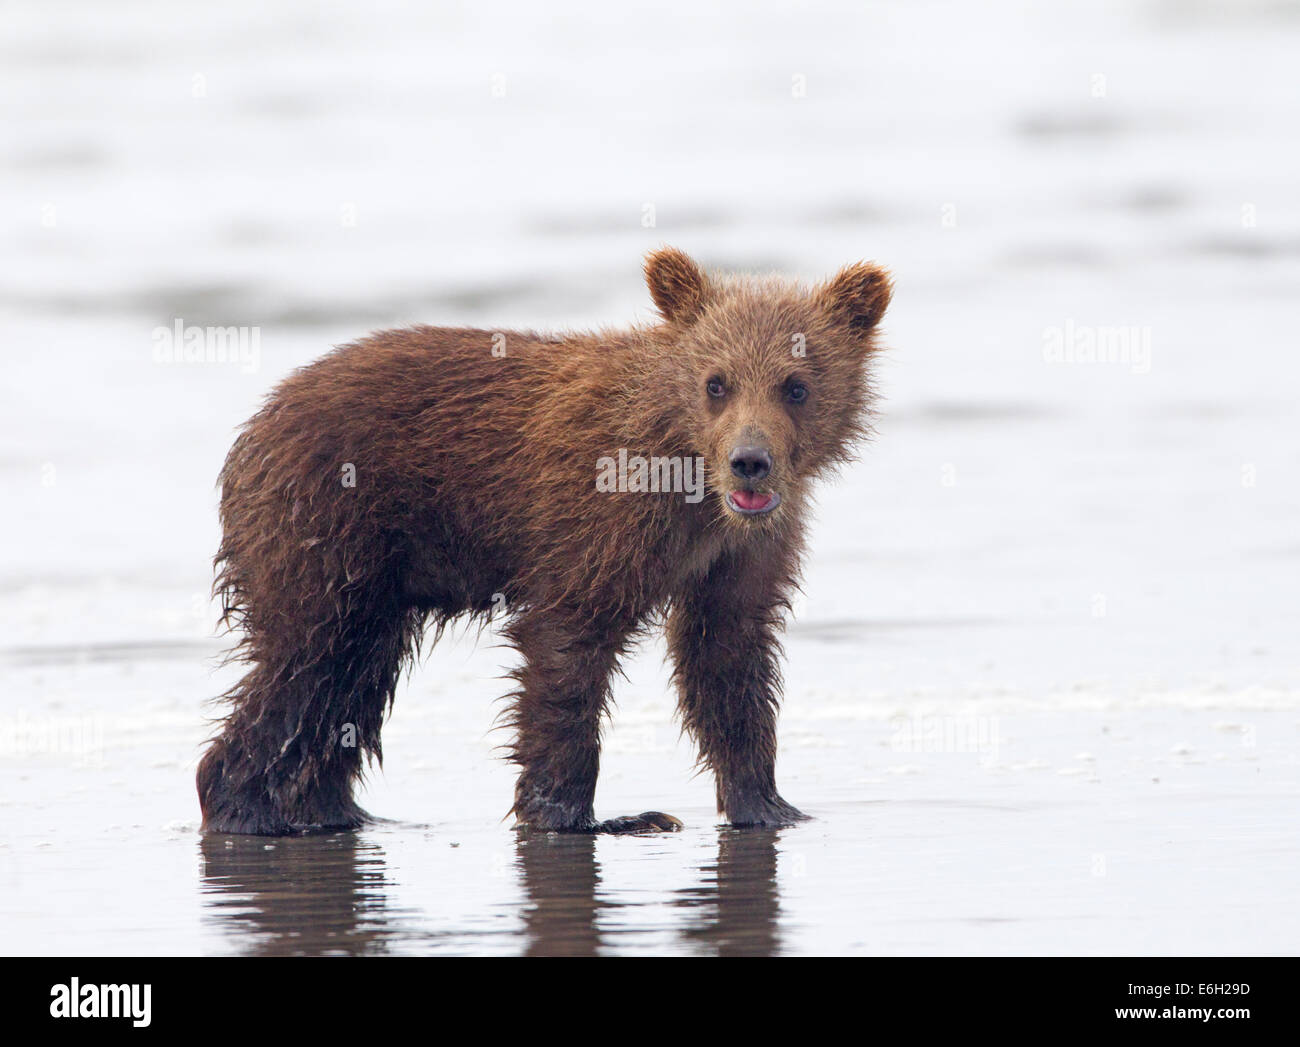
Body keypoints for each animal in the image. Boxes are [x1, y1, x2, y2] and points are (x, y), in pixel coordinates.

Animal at [196, 246, 893, 835]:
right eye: (716, 382)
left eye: (796, 385)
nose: (750, 461)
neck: (690, 481)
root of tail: (255, 424)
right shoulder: (596, 517)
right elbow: (566, 649)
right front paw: (579, 814)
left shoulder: (742, 551)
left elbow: (728, 653)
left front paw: (767, 802)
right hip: (328, 529)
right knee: (307, 658)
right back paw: (244, 805)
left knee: (351, 681)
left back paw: (337, 810)